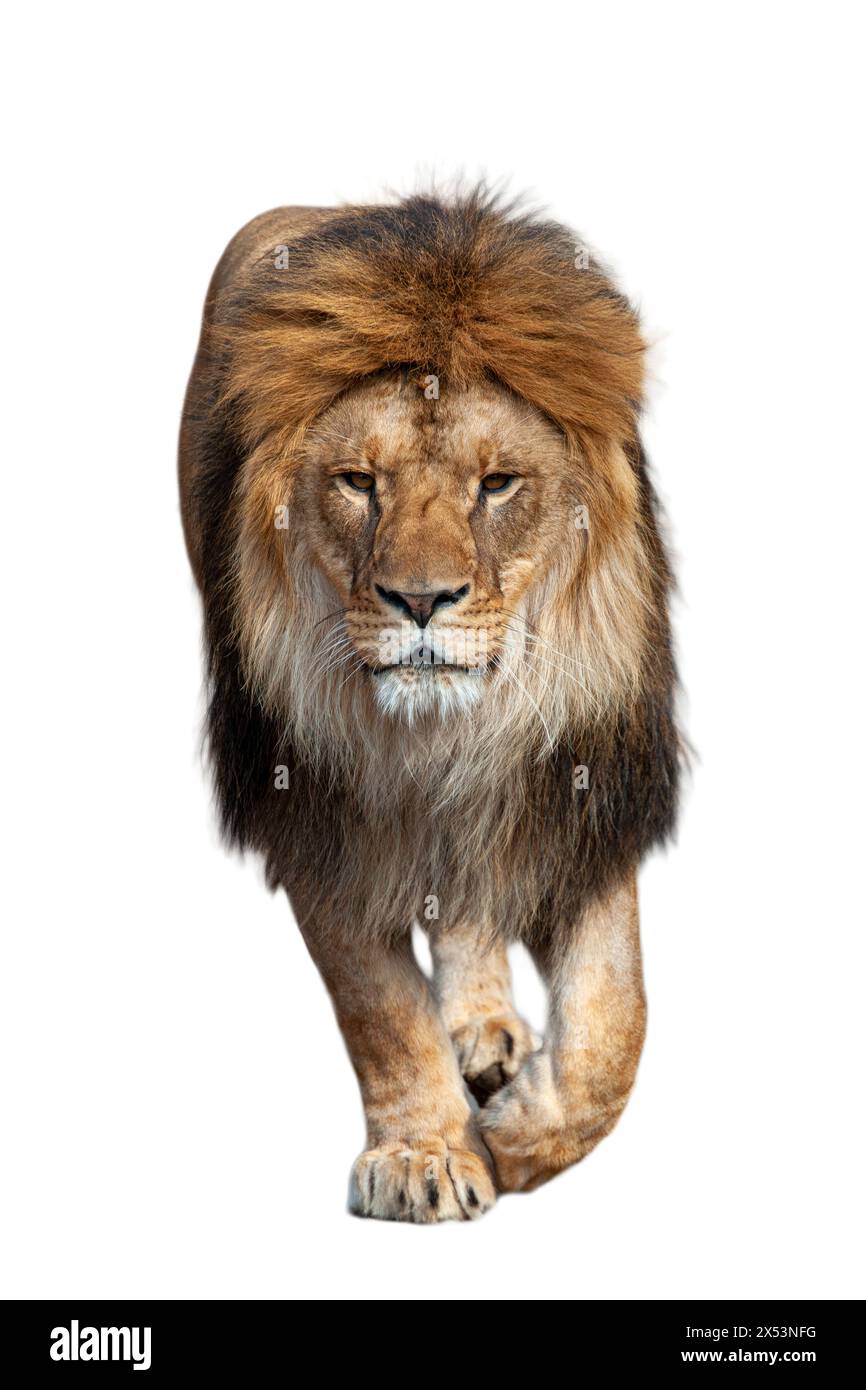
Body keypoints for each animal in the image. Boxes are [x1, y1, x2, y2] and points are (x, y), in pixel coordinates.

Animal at [179, 189, 681, 1221]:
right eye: (357, 483)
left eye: (497, 484)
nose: (420, 599)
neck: (442, 730)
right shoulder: (315, 812)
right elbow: (377, 1007)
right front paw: (426, 1155)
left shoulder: (576, 789)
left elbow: (616, 1022)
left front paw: (522, 1137)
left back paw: (487, 1034)